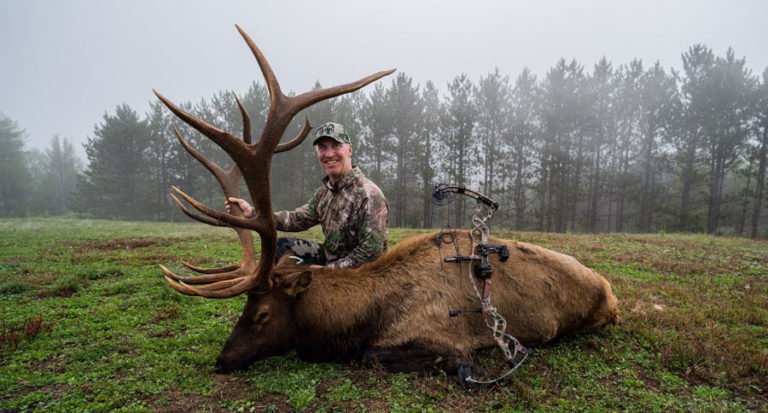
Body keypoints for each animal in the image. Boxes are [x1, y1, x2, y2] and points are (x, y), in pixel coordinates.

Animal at [155, 25, 619, 385]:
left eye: (263, 314)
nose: (222, 361)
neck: (362, 318)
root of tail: (608, 286)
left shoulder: (437, 334)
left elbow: (375, 356)